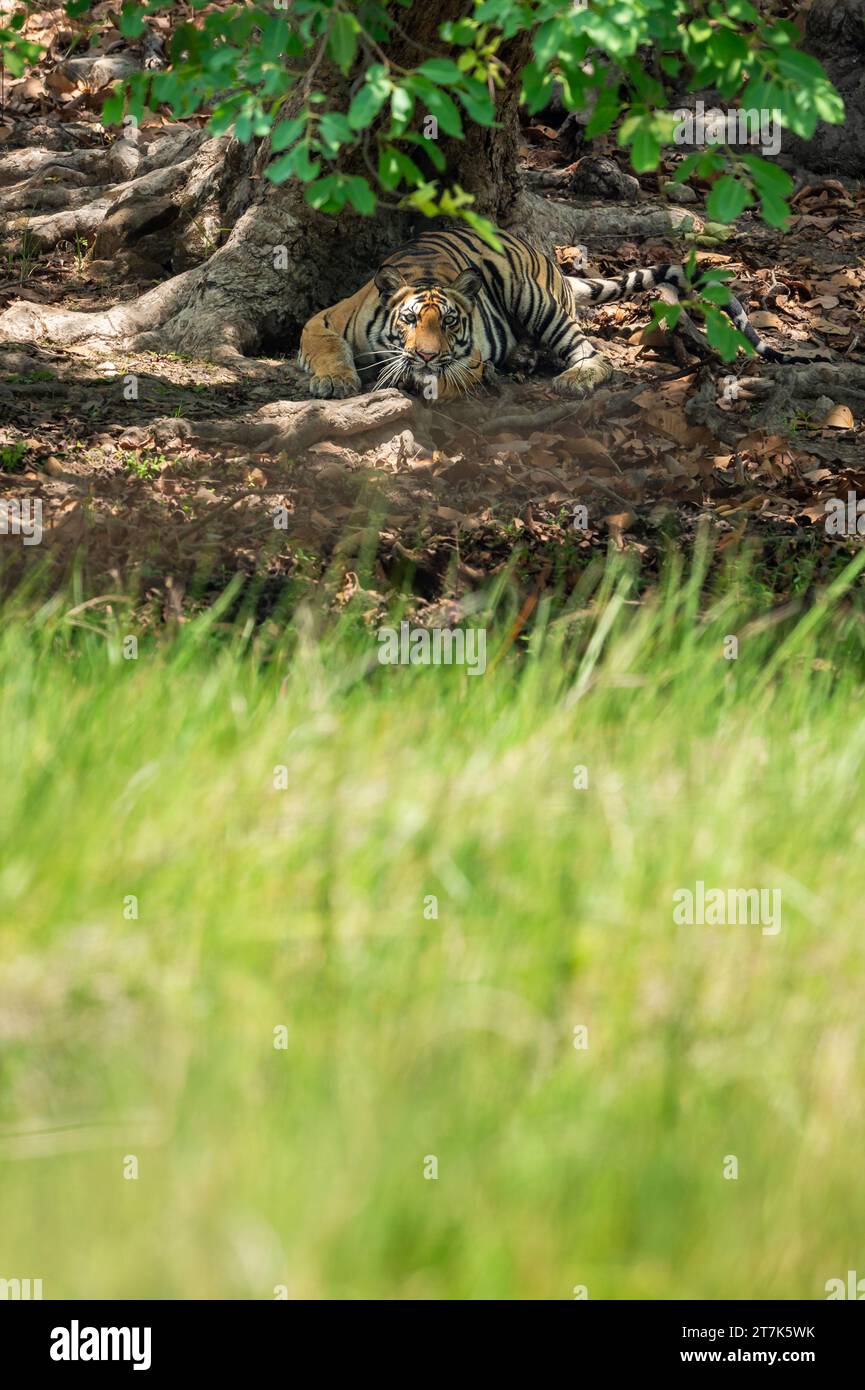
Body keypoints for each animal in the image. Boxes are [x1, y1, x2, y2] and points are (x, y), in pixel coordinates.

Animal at [299, 225, 829, 403]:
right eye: (408, 320)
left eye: (449, 322)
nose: (427, 356)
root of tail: (551, 263)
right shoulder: (327, 317)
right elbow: (323, 344)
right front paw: (335, 381)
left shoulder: (466, 356)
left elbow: (454, 374)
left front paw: (421, 377)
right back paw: (523, 359)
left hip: (528, 294)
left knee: (594, 354)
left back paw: (571, 378)